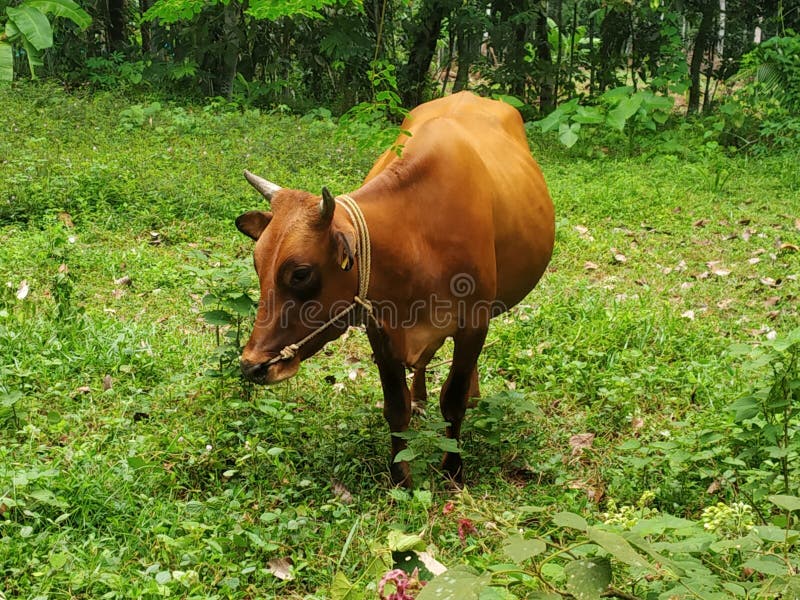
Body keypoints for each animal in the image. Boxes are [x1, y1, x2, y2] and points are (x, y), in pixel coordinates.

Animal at [235, 91, 555, 487]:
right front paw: (400, 476)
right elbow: (395, 406)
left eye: (301, 274)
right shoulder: (380, 328)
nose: (252, 366)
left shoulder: (473, 324)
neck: (416, 238)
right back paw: (421, 397)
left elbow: (453, 401)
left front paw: (453, 469)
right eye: (257, 263)